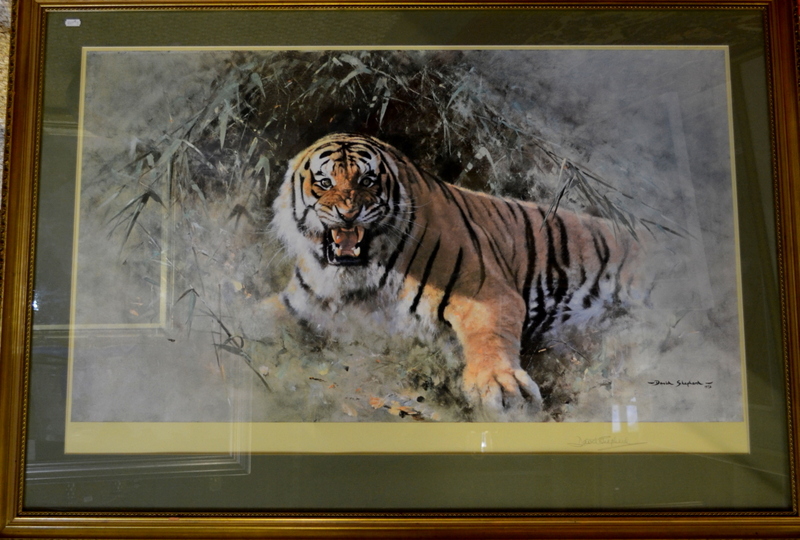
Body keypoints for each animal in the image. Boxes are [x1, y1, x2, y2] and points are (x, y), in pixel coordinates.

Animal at [268, 133, 641, 412]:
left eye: (367, 180)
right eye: (324, 182)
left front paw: (502, 388)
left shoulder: (487, 292)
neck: (360, 279)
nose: (348, 213)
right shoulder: (299, 303)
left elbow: (489, 338)